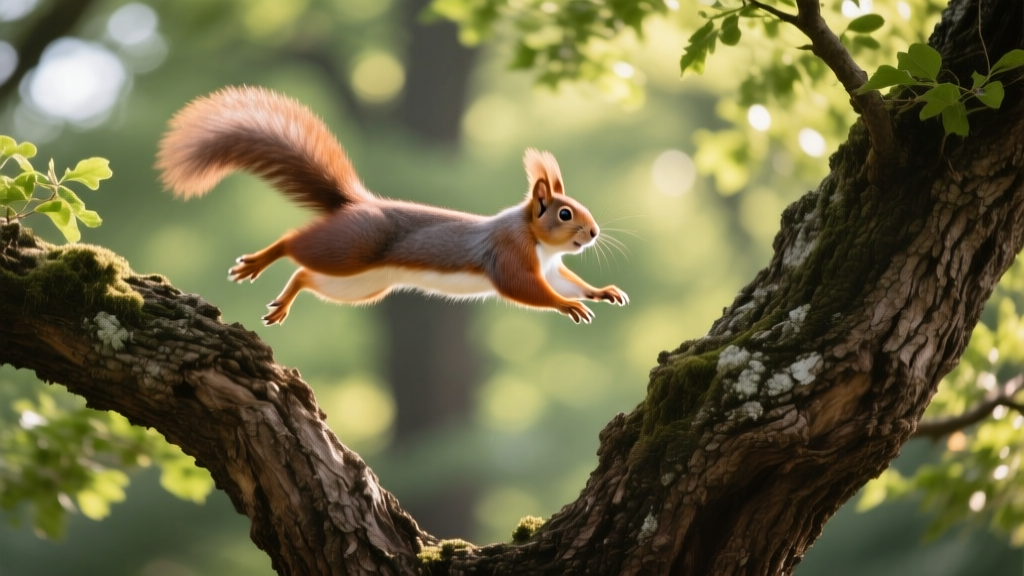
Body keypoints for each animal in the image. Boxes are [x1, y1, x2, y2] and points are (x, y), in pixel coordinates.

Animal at [156, 86, 628, 325]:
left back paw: (285, 302)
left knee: (306, 275)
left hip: (361, 284)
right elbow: (522, 288)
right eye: (564, 213)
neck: (539, 242)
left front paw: (601, 291)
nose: (593, 233)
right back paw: (259, 261)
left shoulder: (552, 267)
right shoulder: (508, 254)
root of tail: (355, 204)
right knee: (294, 244)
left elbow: (569, 280)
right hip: (349, 249)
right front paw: (567, 306)